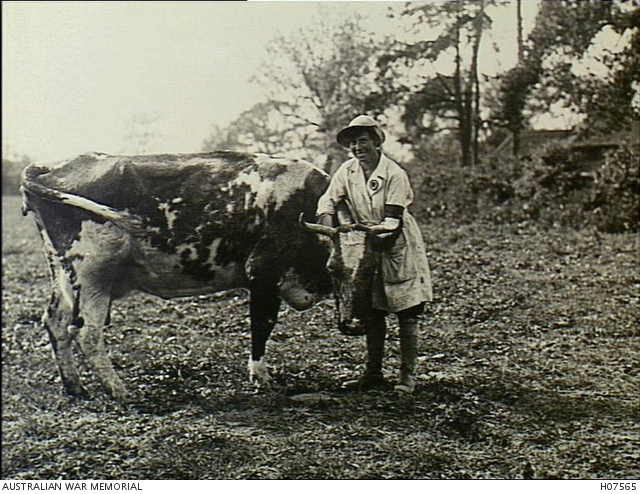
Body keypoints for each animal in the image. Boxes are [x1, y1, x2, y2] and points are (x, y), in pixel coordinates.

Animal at [20, 151, 381, 402]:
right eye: (333, 267)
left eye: (370, 268)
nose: (354, 325)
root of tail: (53, 166)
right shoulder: (262, 272)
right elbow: (262, 325)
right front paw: (261, 377)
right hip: (94, 273)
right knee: (86, 331)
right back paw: (120, 391)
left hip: (64, 274)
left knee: (55, 322)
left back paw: (75, 387)